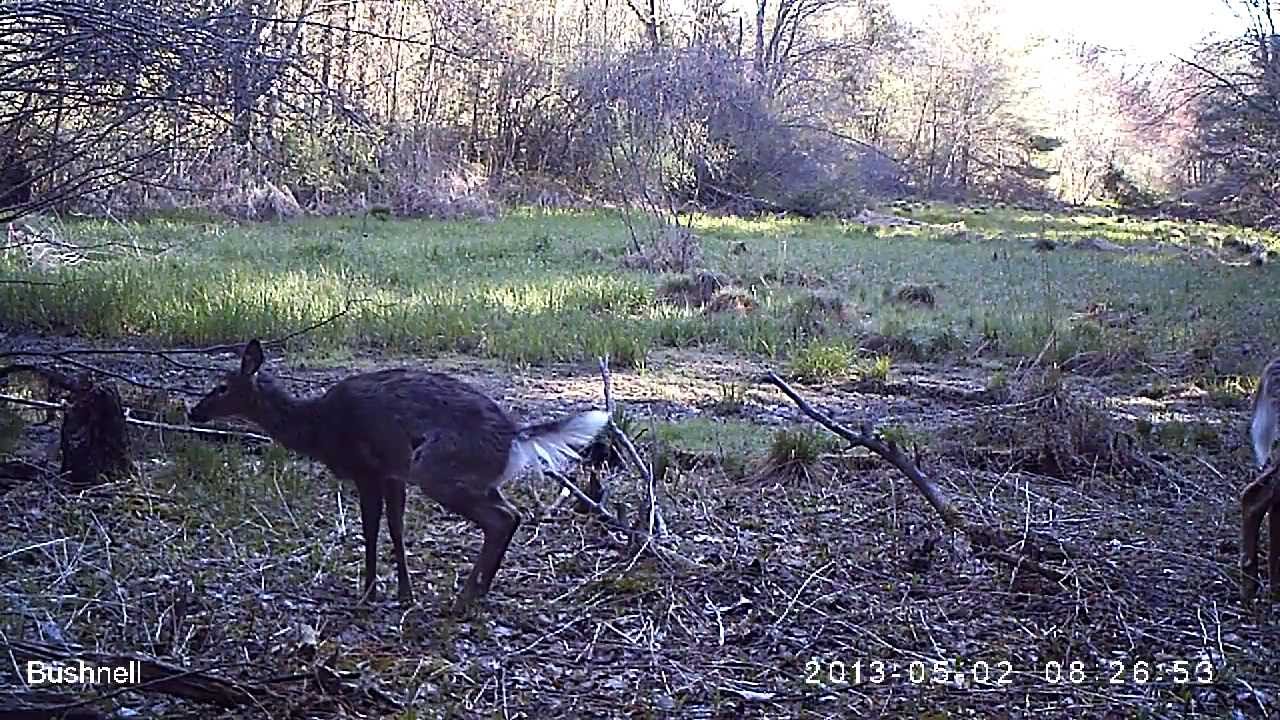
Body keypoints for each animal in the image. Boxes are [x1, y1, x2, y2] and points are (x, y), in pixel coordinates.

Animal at [187, 339, 609, 612]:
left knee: (501, 519)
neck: (317, 427)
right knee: (513, 514)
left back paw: (465, 597)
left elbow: (372, 529)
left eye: (221, 387)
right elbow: (396, 529)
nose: (194, 411)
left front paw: (369, 593)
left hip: (436, 468)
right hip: (469, 476)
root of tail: (514, 435)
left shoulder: (367, 469)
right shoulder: (393, 473)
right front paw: (404, 594)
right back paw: (478, 590)